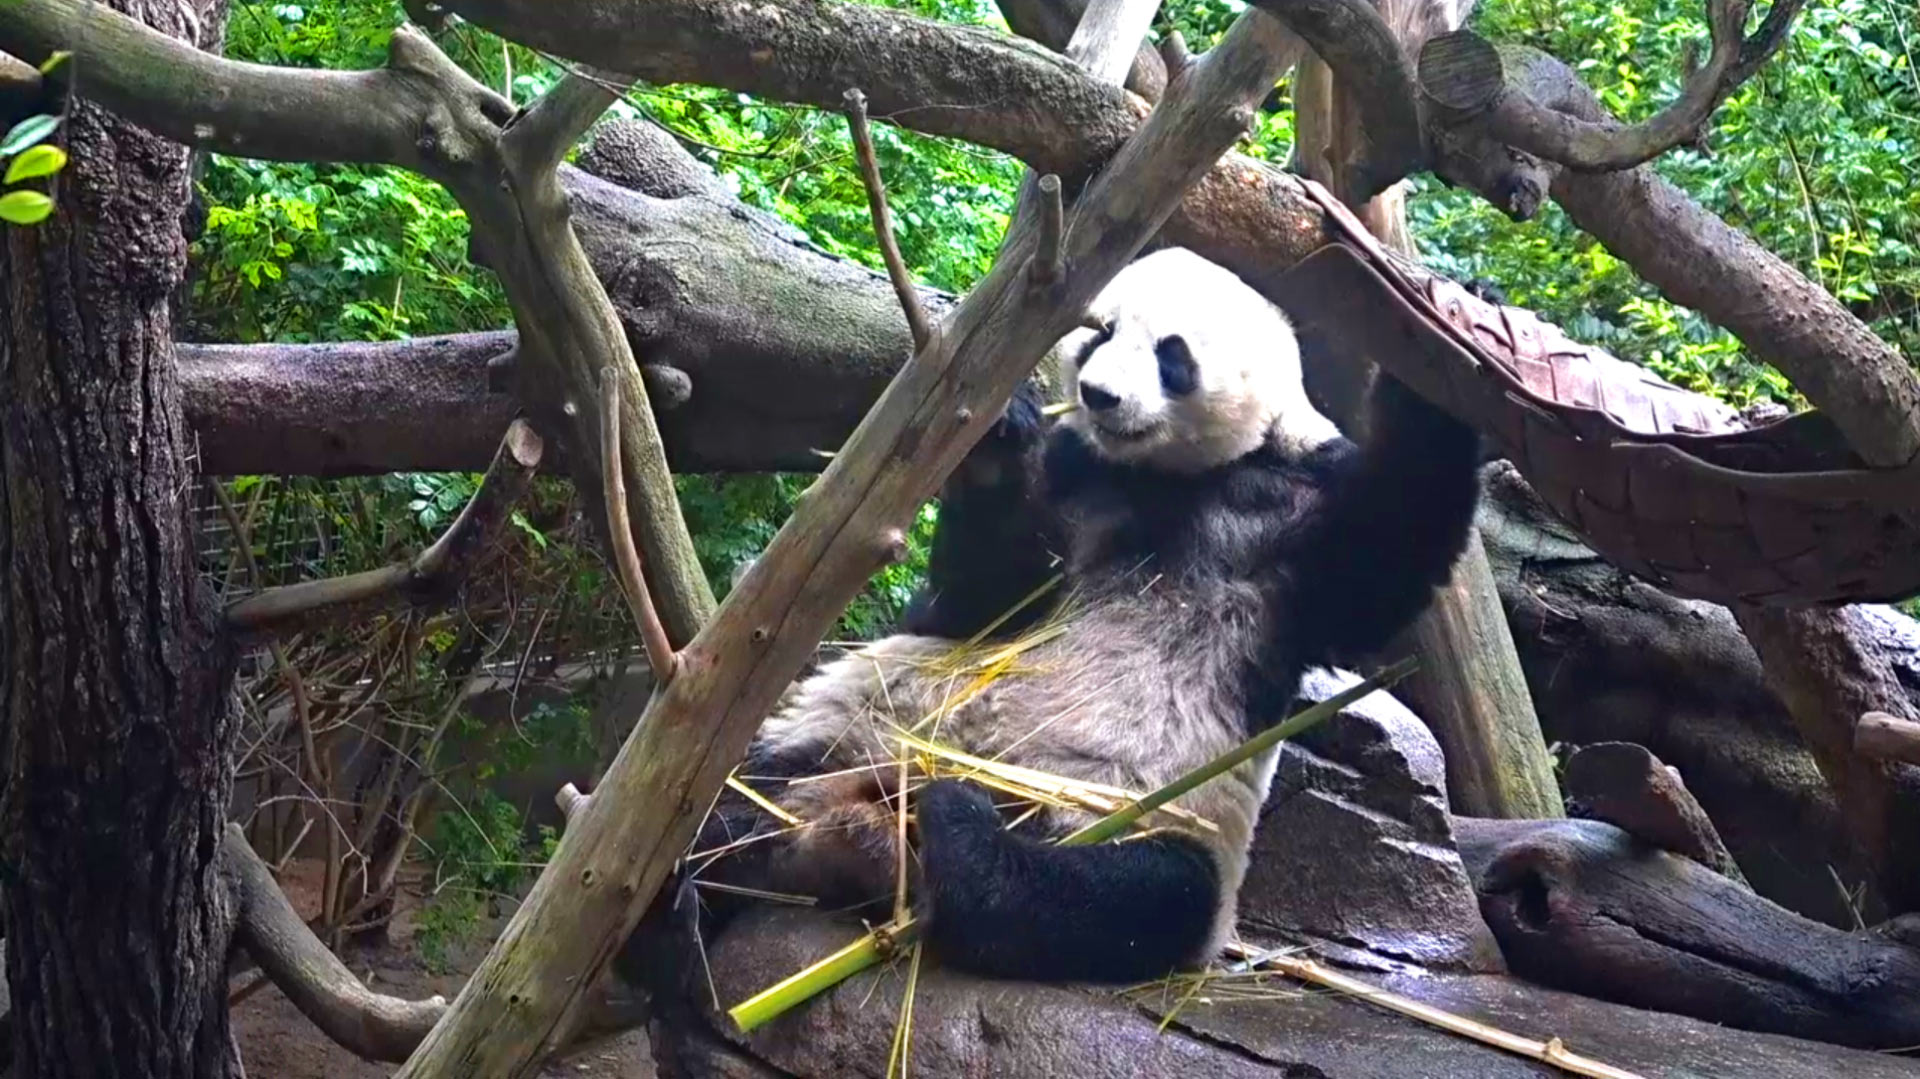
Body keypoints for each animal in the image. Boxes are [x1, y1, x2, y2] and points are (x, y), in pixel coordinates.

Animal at [651, 247, 1482, 987]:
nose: (1099, 394)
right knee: (730, 798)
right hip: (846, 733)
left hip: (1135, 810)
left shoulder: (1293, 510)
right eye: (1098, 332)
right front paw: (997, 435)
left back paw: (963, 838)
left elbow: (1390, 548)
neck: (1167, 478)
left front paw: (1445, 337)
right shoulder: (1072, 475)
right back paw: (690, 904)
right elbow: (983, 600)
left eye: (1172, 355)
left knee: (1126, 896)